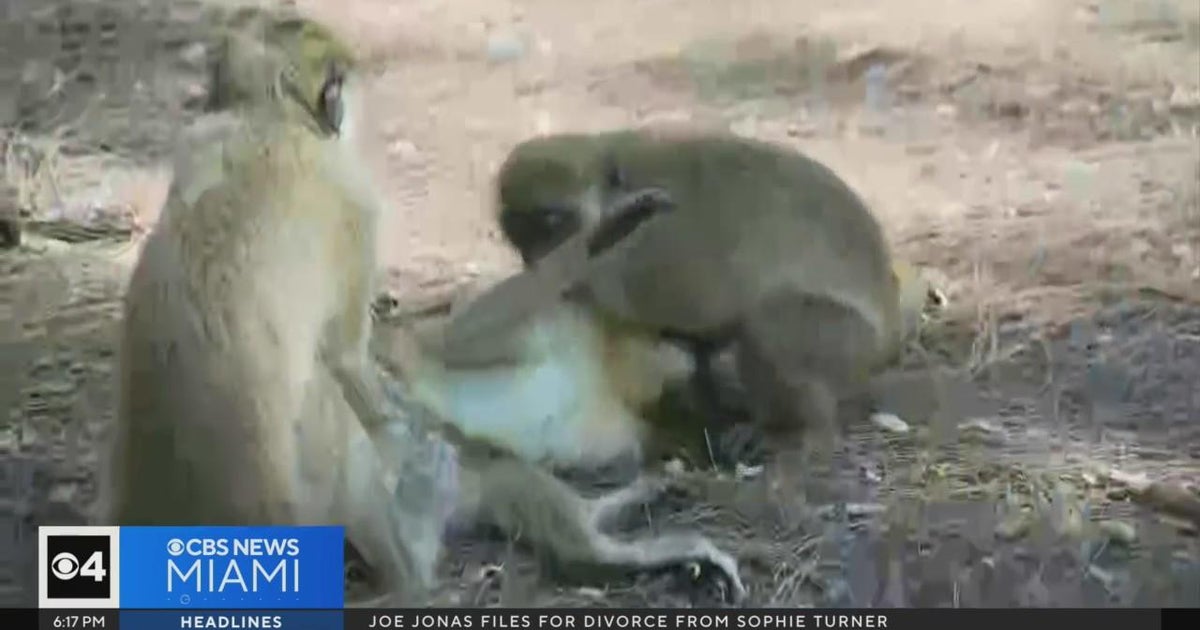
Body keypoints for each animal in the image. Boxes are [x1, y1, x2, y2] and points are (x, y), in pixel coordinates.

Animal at [102, 9, 746, 607]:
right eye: (332, 84)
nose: (341, 108)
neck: (260, 119)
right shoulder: (352, 198)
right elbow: (351, 355)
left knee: (504, 475)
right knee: (335, 392)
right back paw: (421, 559)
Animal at [491, 129, 946, 459]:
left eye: (553, 224)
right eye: (524, 238)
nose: (541, 264)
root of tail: (891, 336)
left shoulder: (651, 244)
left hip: (850, 344)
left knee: (770, 322)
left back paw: (793, 428)